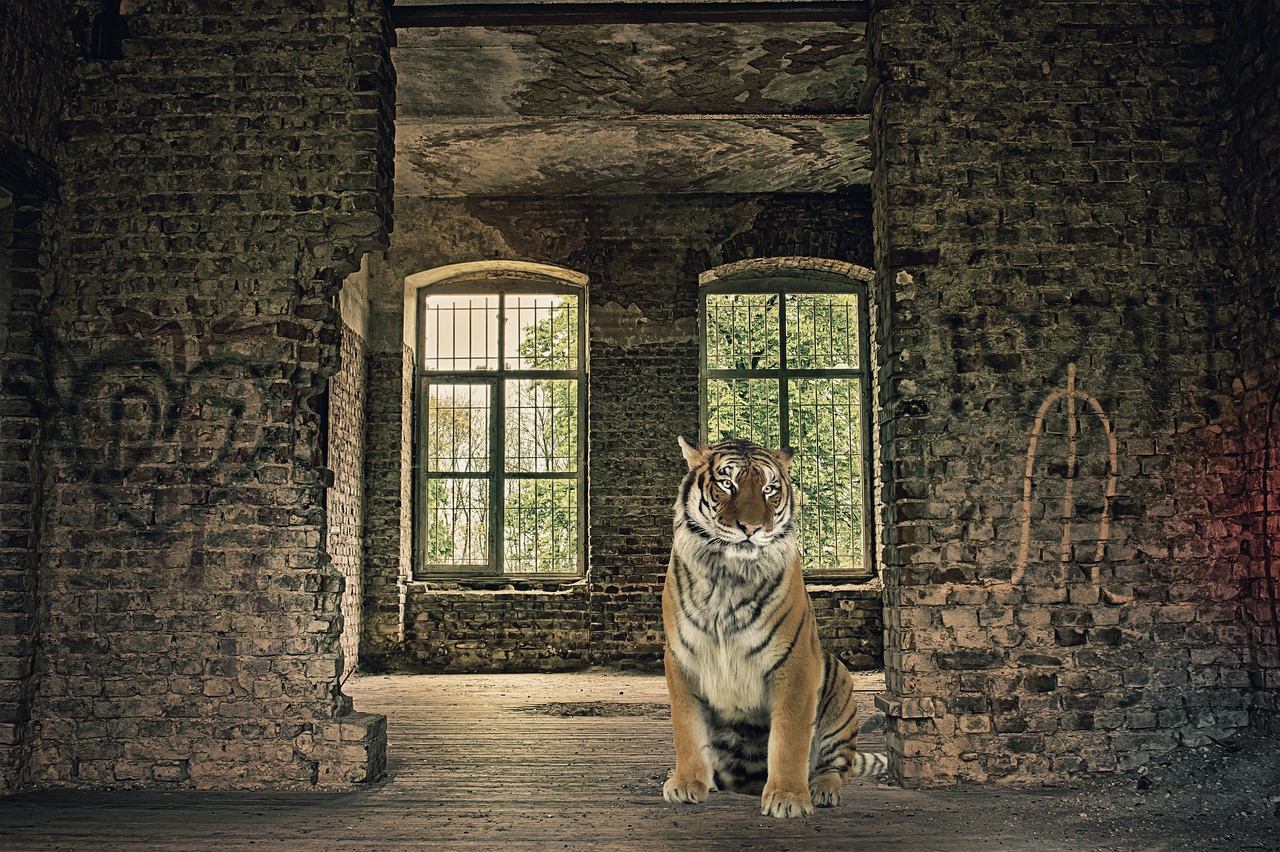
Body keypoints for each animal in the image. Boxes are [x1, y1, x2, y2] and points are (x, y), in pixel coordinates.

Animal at [661, 436, 888, 819]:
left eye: (769, 489)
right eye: (727, 484)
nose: (751, 528)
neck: (728, 576)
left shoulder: (794, 662)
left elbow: (790, 736)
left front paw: (788, 797)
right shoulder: (682, 659)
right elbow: (687, 728)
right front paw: (687, 783)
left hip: (838, 681)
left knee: (837, 764)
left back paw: (821, 789)